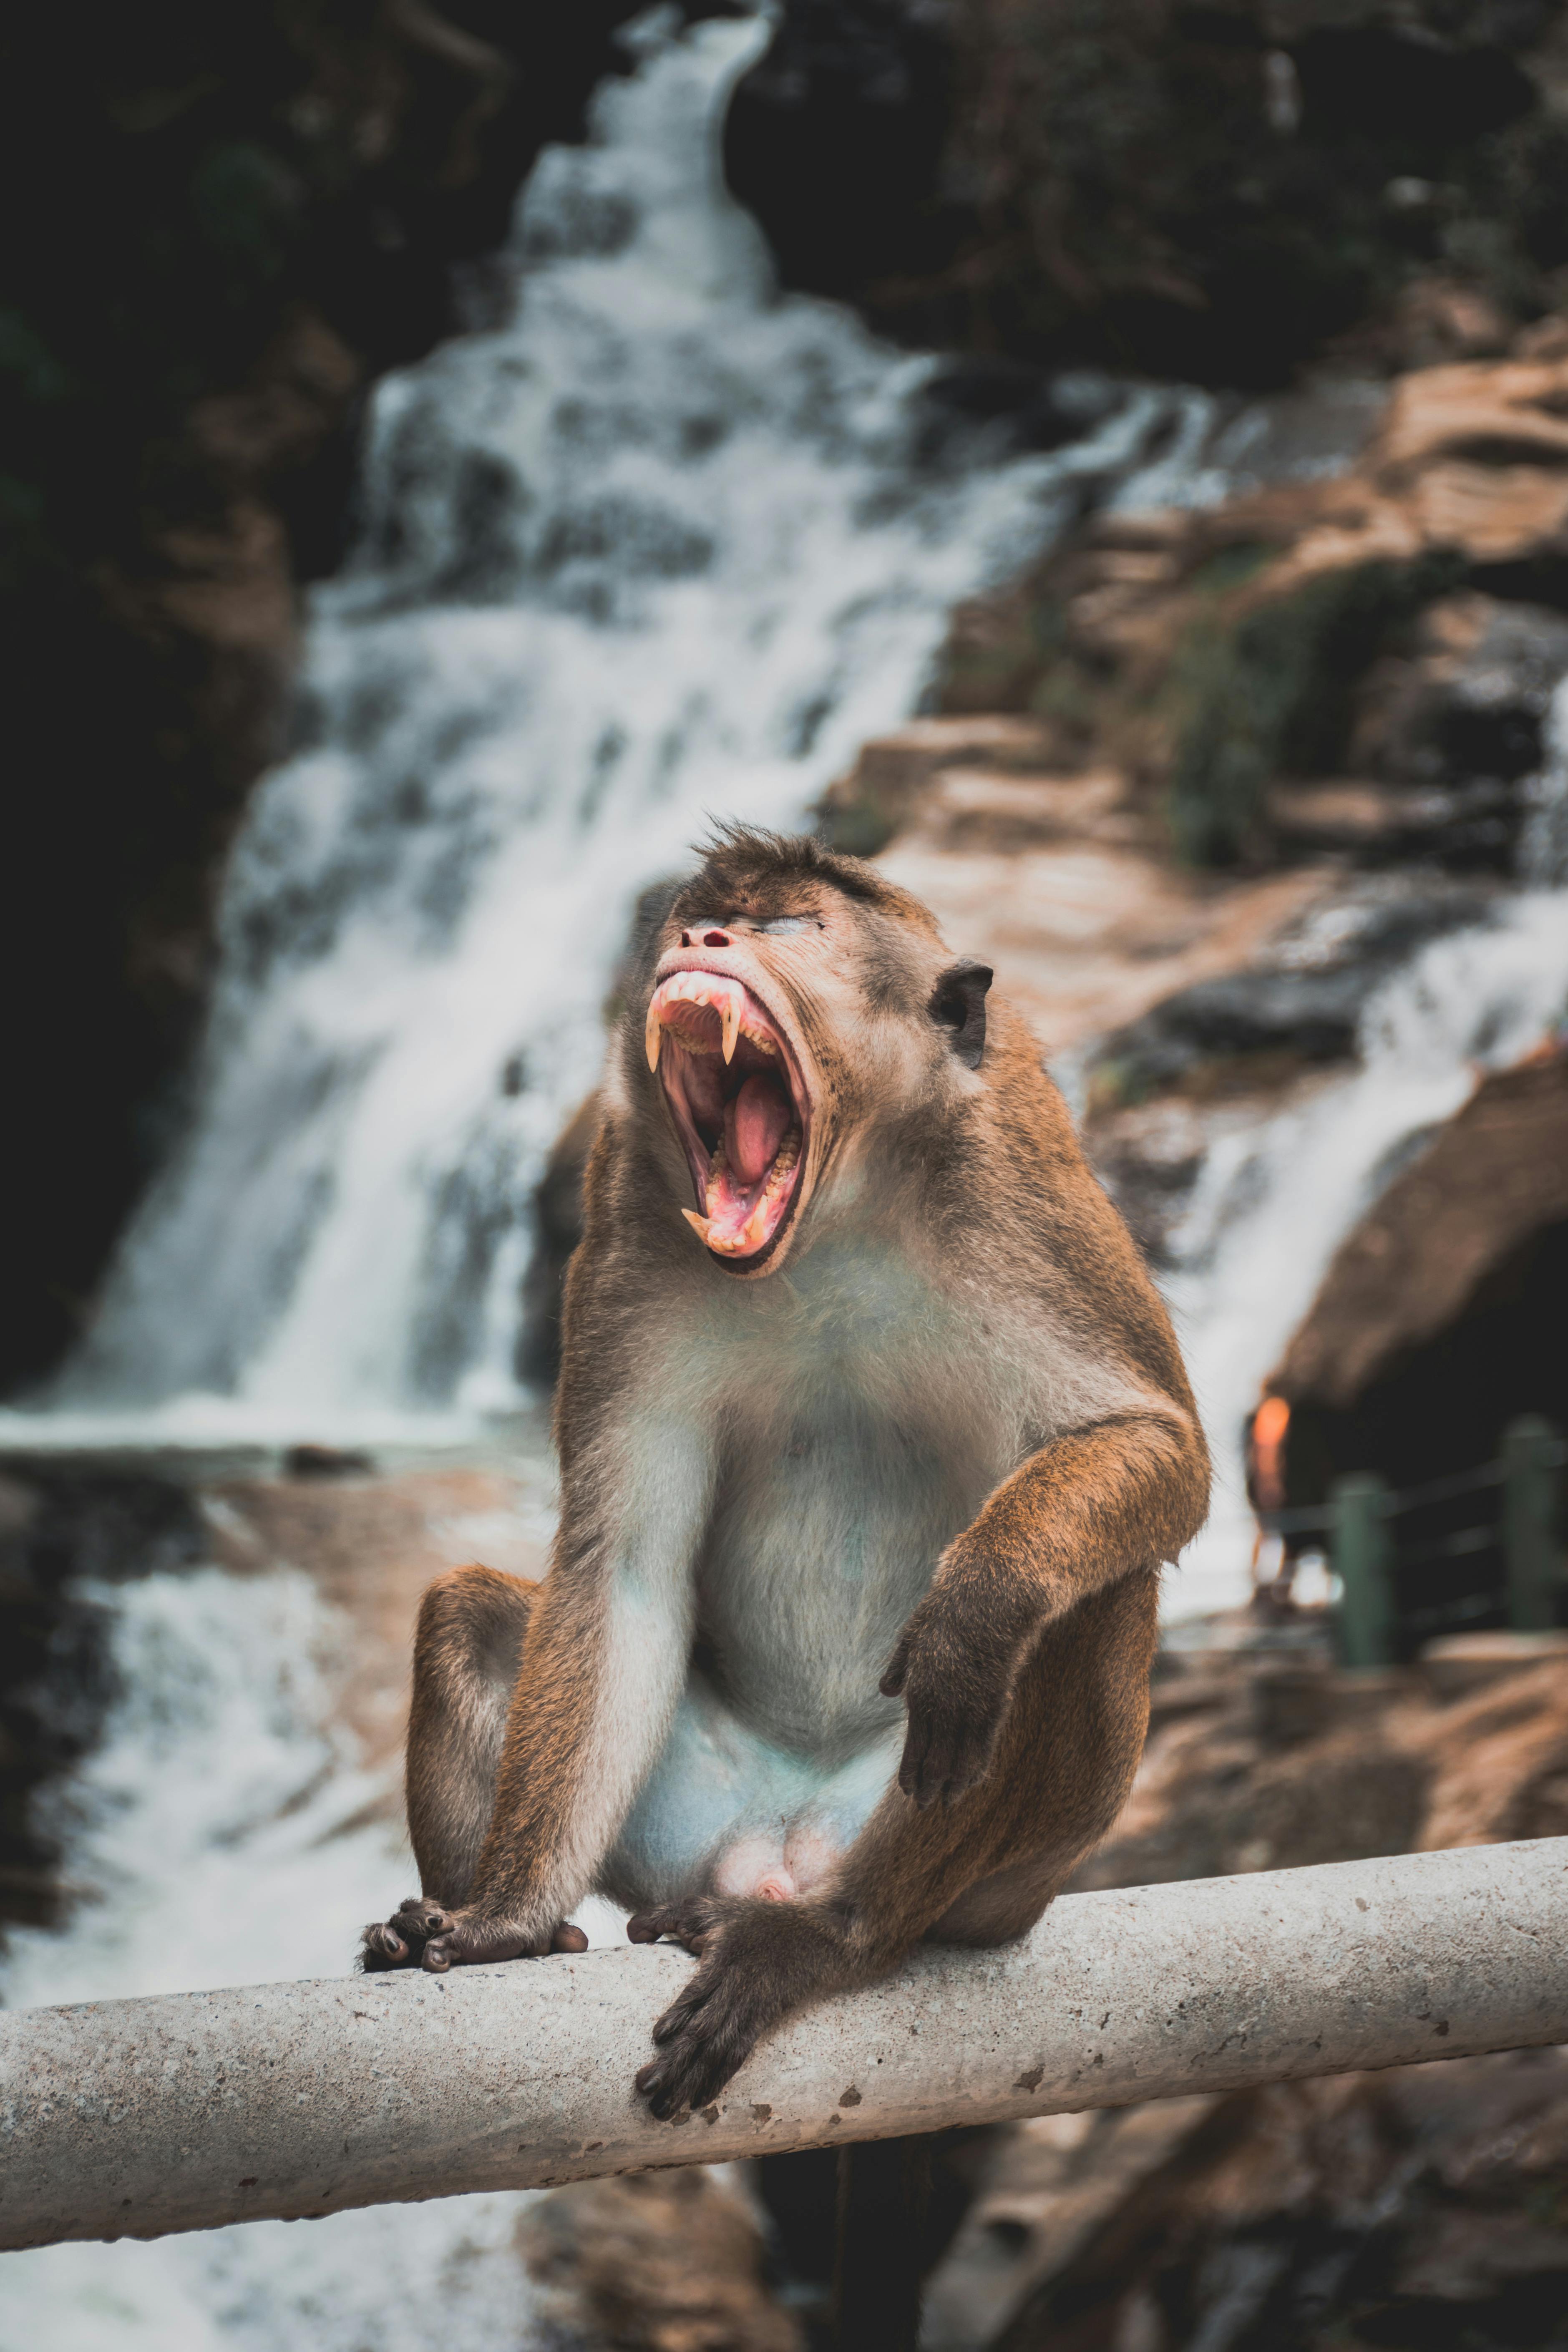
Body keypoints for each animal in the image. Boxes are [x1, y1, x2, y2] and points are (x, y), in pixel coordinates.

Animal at [361, 826, 1210, 2123]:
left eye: (792, 929)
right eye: (695, 922)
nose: (706, 941)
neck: (832, 1212)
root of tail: (775, 1854)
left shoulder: (1018, 1185)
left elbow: (1156, 1441)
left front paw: (975, 1603)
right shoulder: (627, 1208)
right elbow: (621, 1564)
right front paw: (501, 1919)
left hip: (991, 1875)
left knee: (1078, 1601)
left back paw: (826, 1935)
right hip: (686, 1824)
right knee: (469, 1614)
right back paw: (543, 1928)